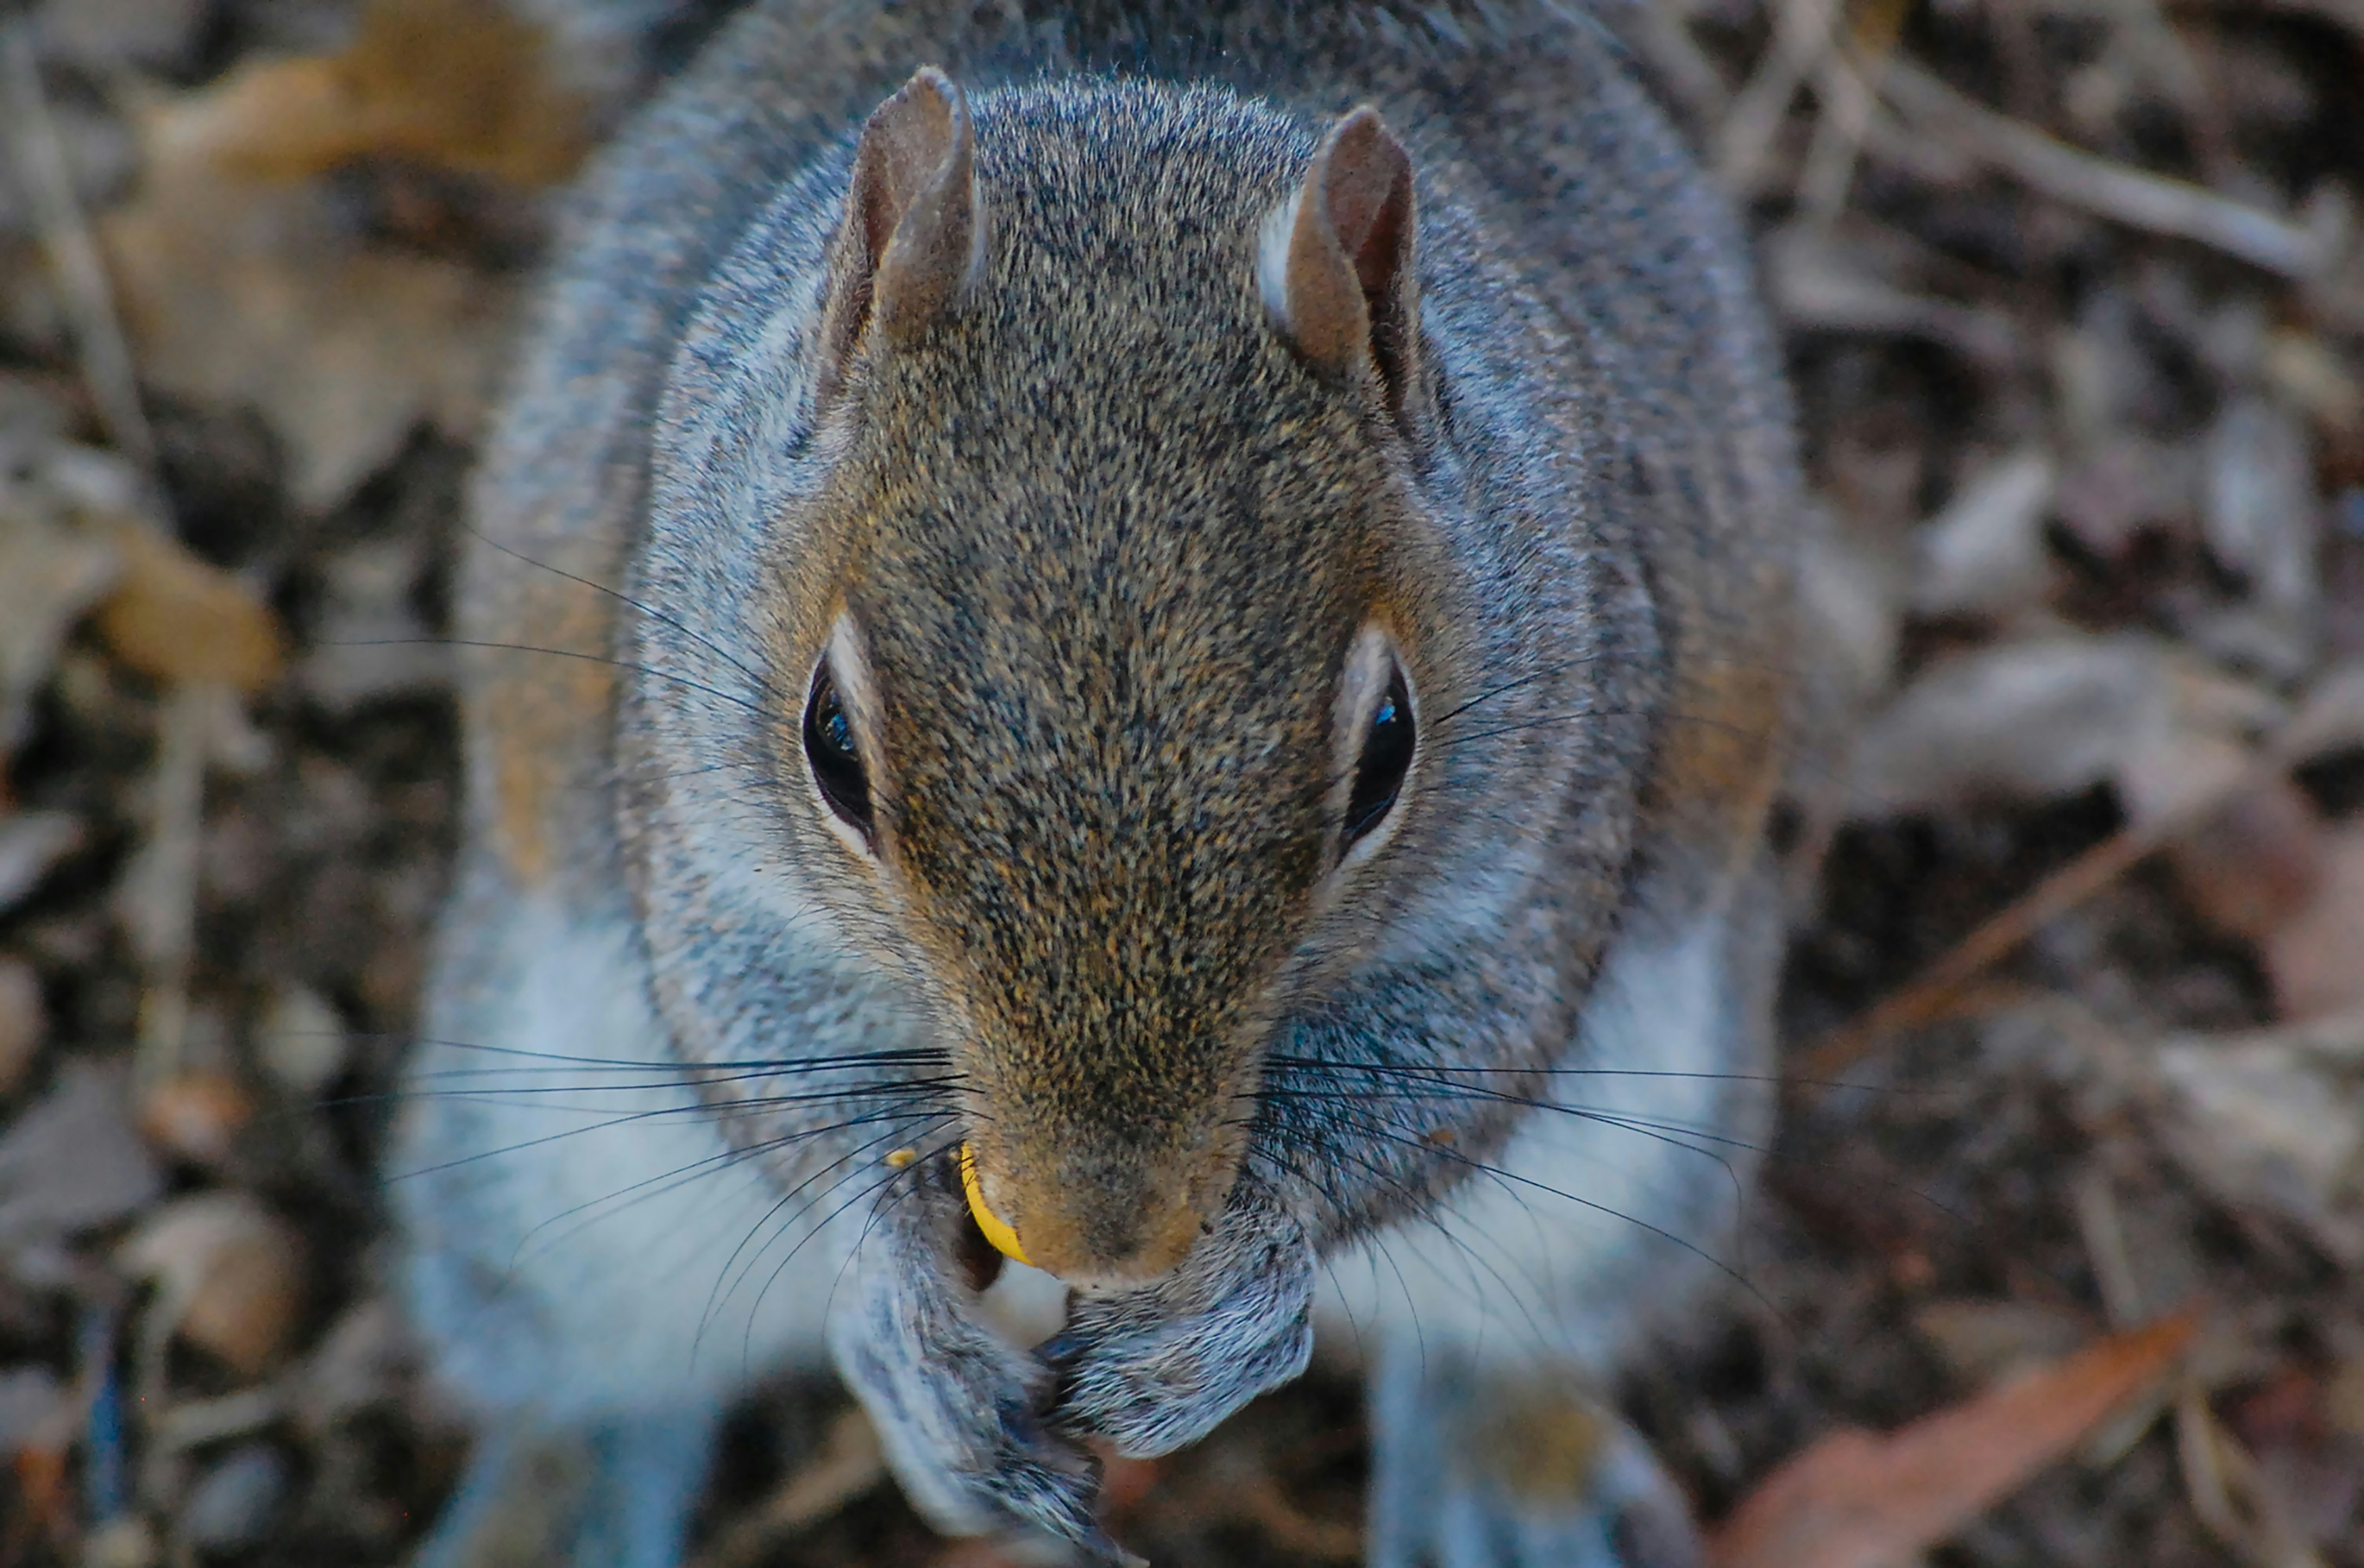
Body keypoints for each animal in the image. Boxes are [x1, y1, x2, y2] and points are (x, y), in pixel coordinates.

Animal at [390, 3, 1811, 1565]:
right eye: (830, 746)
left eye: (1388, 755)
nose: (1100, 1239)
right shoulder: (694, 822)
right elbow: (760, 1036)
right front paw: (893, 1303)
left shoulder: (1559, 805)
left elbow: (1460, 1055)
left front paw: (1250, 1277)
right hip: (548, 1186)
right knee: (593, 1374)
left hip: (1624, 1177)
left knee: (1501, 1335)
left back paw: (1510, 1479)